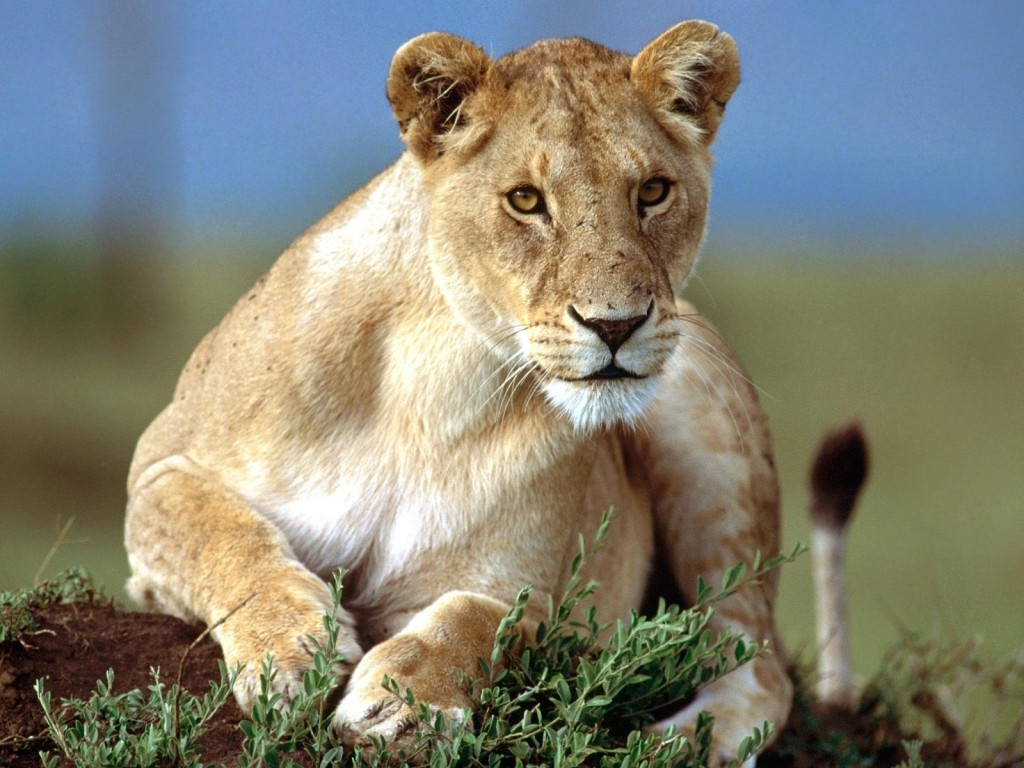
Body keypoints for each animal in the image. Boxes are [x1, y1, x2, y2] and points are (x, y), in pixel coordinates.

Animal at [125, 21, 792, 764]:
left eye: (652, 191)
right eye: (526, 200)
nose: (615, 324)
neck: (432, 378)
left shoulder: (532, 595)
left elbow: (486, 619)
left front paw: (403, 704)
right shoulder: (160, 466)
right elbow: (219, 534)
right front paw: (289, 649)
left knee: (760, 667)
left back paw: (666, 745)